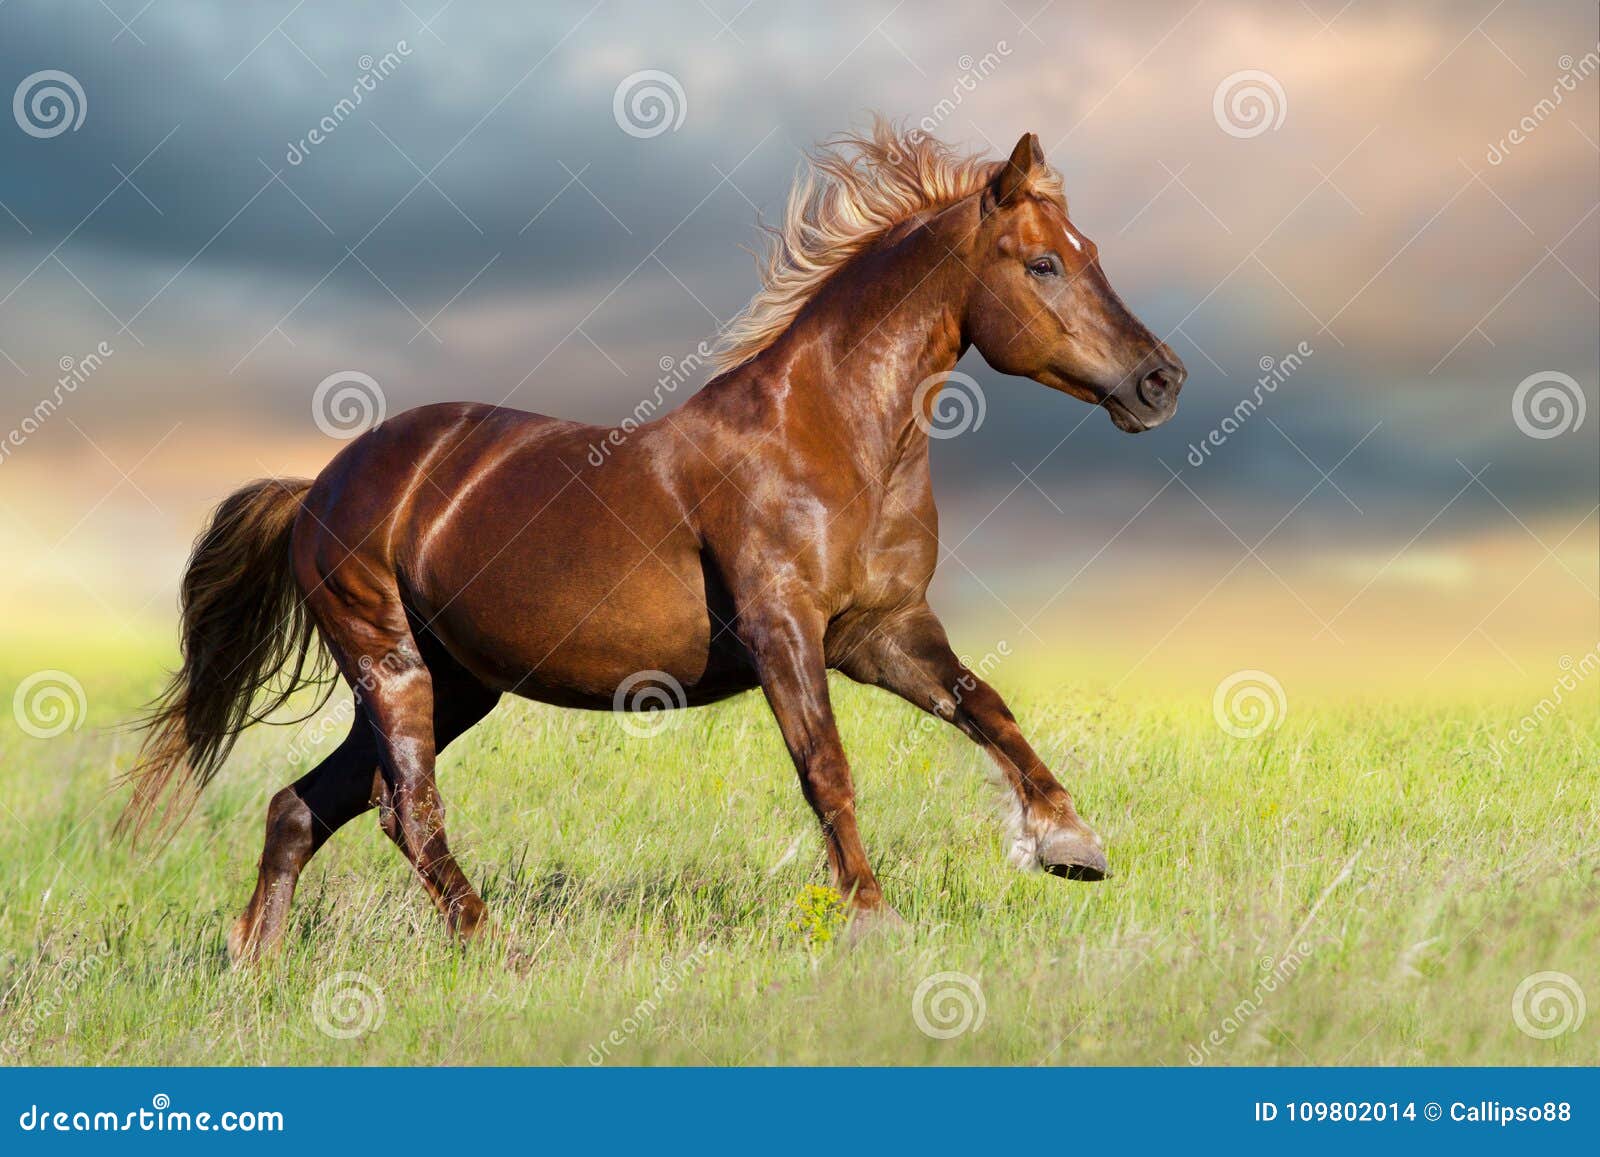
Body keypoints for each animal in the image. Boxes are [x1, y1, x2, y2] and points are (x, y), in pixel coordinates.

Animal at [122, 121, 1185, 961]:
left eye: (1090, 249)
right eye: (1043, 263)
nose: (1160, 380)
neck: (831, 435)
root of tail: (317, 488)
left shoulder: (881, 631)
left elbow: (988, 707)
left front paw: (1070, 844)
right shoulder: (785, 630)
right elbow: (827, 769)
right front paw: (874, 920)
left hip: (456, 681)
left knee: (304, 805)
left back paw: (255, 963)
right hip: (389, 664)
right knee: (406, 811)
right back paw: (498, 948)